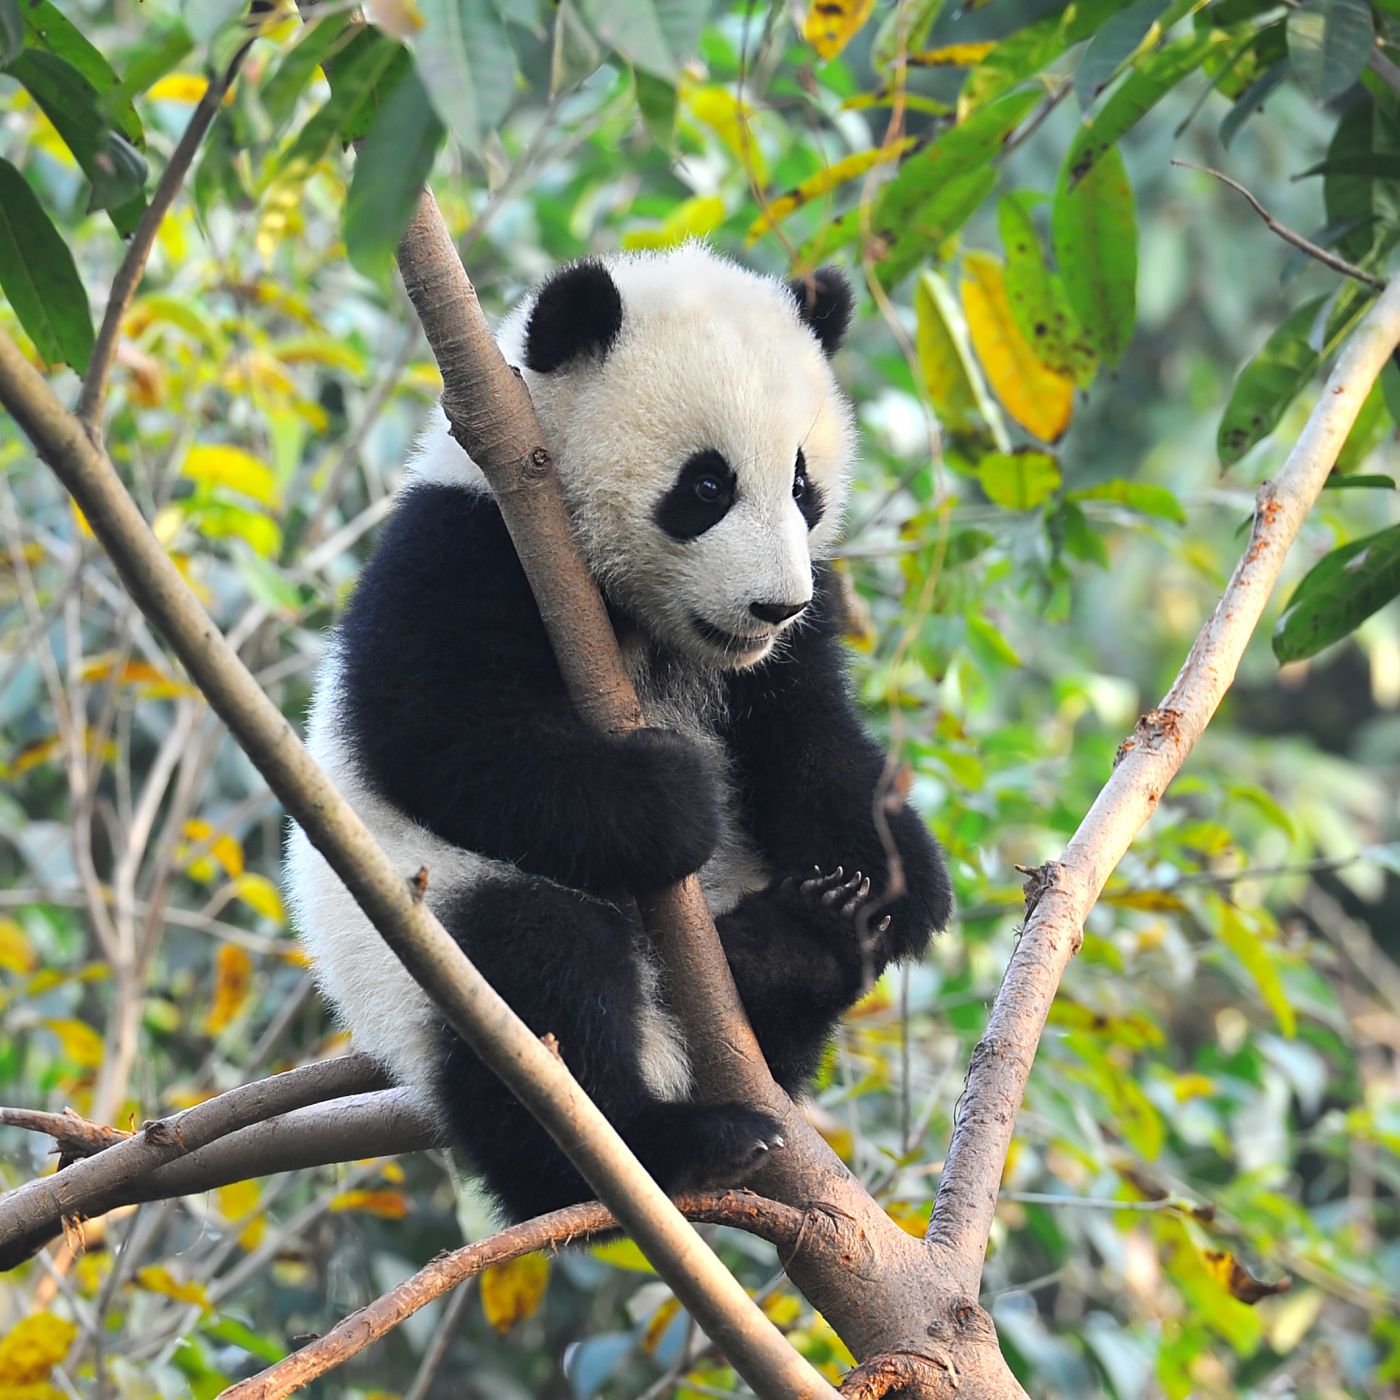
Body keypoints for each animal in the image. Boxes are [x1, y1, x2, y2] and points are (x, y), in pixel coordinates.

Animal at [286, 244, 952, 1223]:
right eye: (707, 486)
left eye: (801, 486)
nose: (772, 605)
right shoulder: (469, 541)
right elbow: (439, 734)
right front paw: (673, 799)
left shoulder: (790, 642)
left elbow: (812, 744)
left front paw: (894, 880)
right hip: (422, 945)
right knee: (538, 972)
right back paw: (674, 1144)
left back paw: (801, 941)